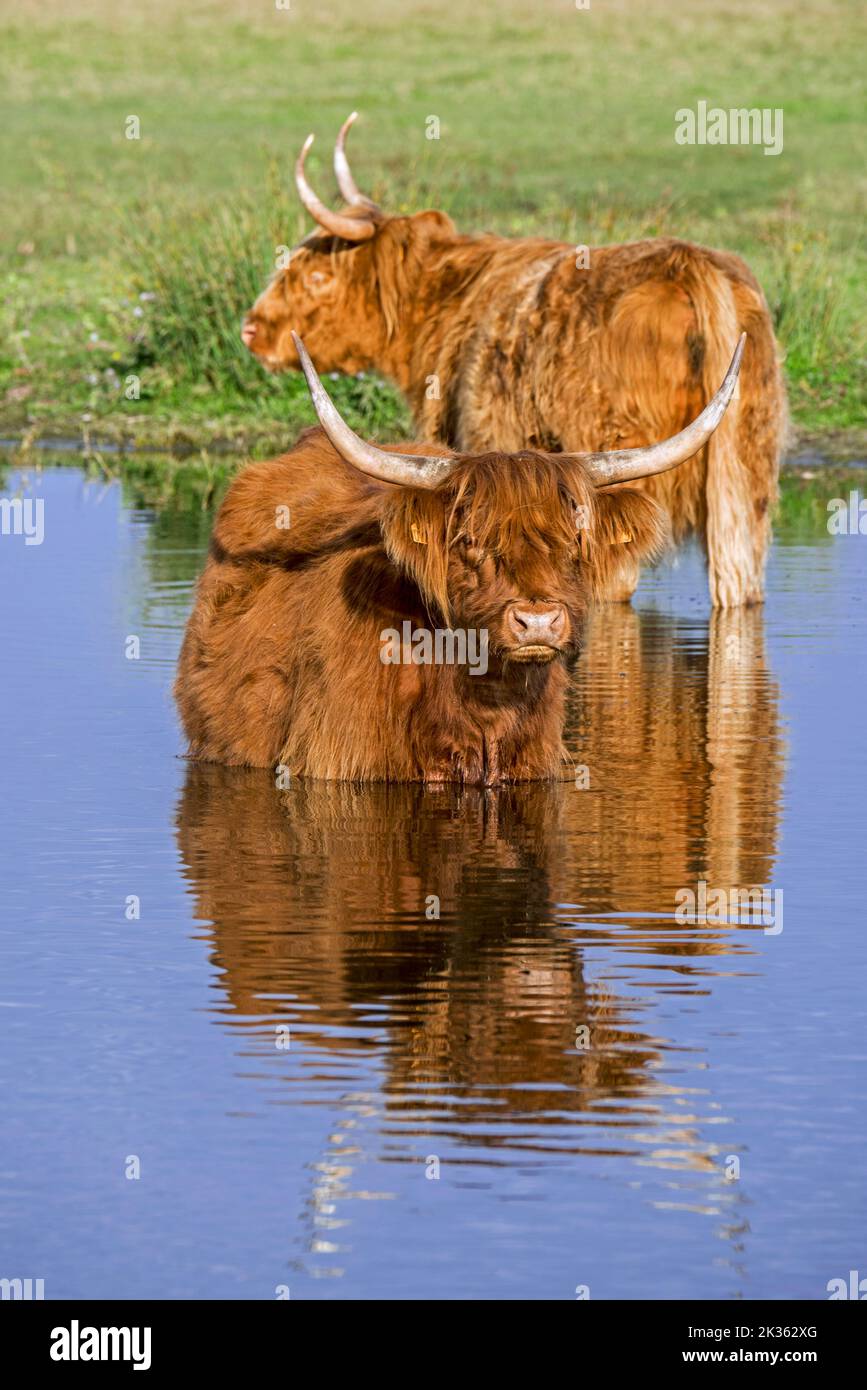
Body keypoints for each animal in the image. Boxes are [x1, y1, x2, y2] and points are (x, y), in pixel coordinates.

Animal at [241, 114, 787, 608]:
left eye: (316, 277)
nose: (251, 329)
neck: (448, 302)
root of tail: (689, 263)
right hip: (747, 479)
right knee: (739, 580)